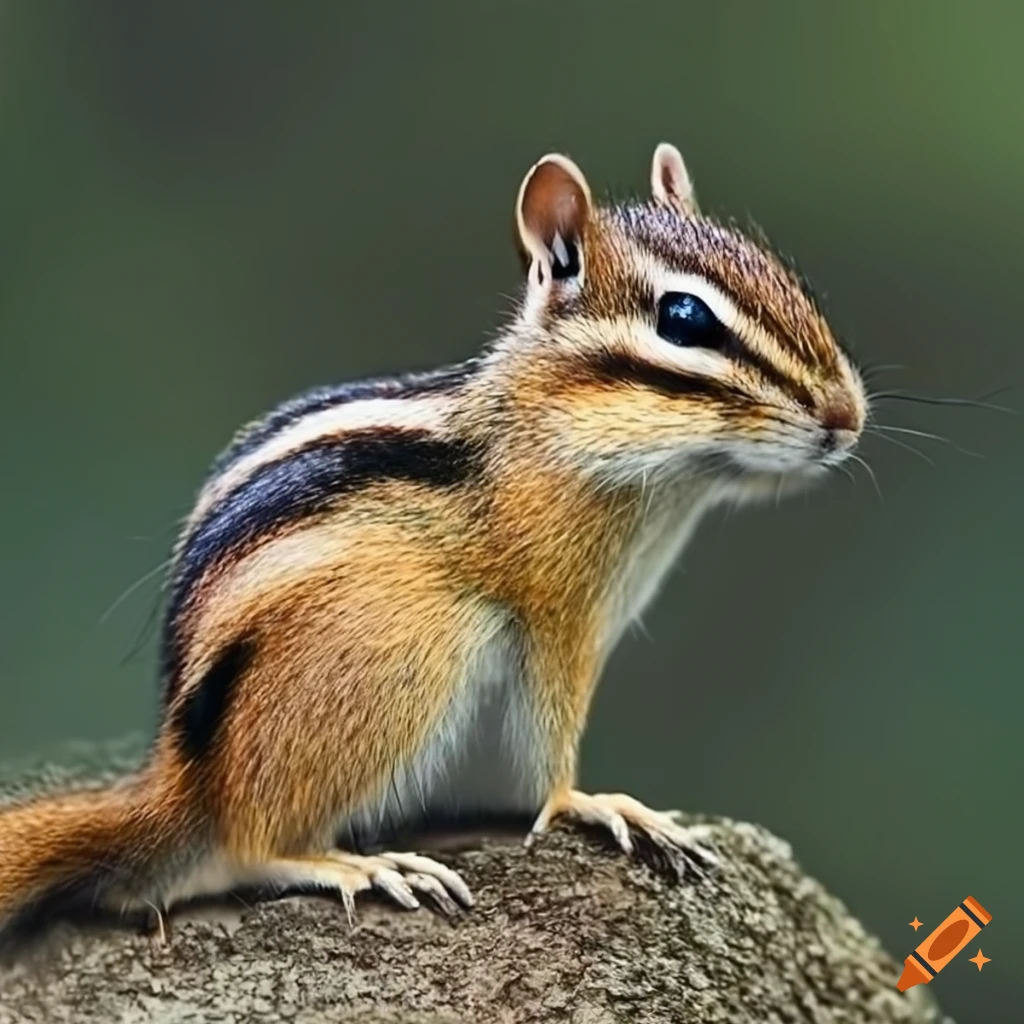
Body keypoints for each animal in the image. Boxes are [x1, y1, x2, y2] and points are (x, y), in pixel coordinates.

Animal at [0, 142, 866, 949]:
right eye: (685, 320)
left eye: (784, 277)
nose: (846, 417)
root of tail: (185, 784)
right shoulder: (557, 614)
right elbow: (551, 739)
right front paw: (592, 802)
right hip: (413, 644)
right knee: (249, 848)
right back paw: (359, 865)